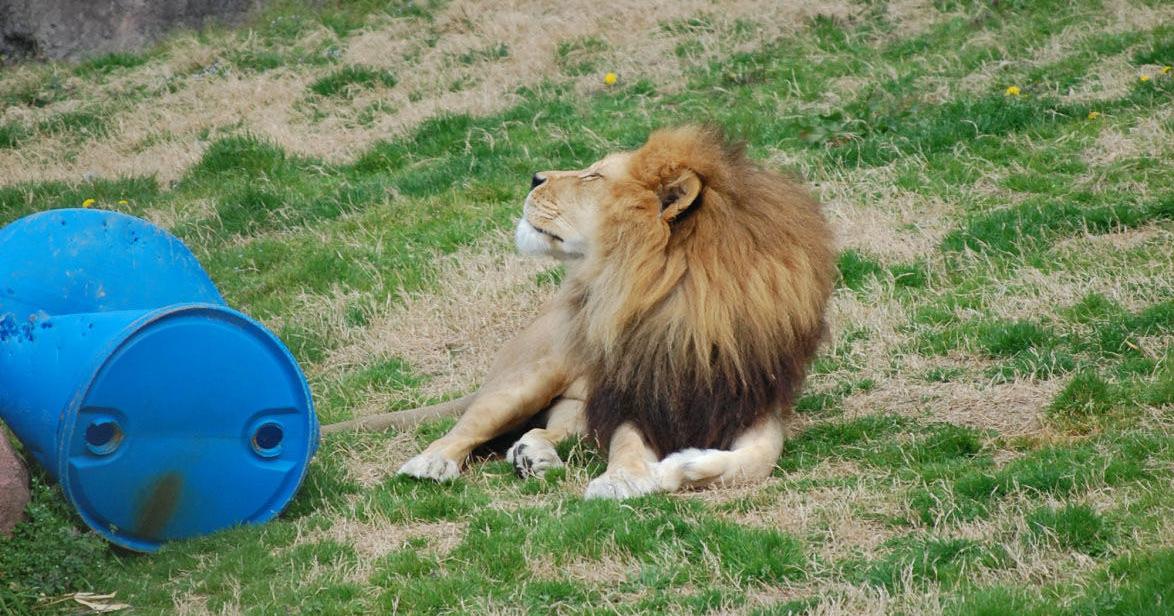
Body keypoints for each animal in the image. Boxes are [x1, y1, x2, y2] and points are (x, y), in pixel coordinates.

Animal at [332, 125, 835, 498]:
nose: (534, 177)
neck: (679, 303)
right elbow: (628, 445)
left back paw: (533, 457)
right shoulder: (631, 395)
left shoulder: (751, 400)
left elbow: (755, 461)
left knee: (548, 431)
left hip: (577, 406)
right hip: (530, 377)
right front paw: (621, 480)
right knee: (467, 426)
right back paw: (431, 462)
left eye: (594, 178)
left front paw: (679, 467)